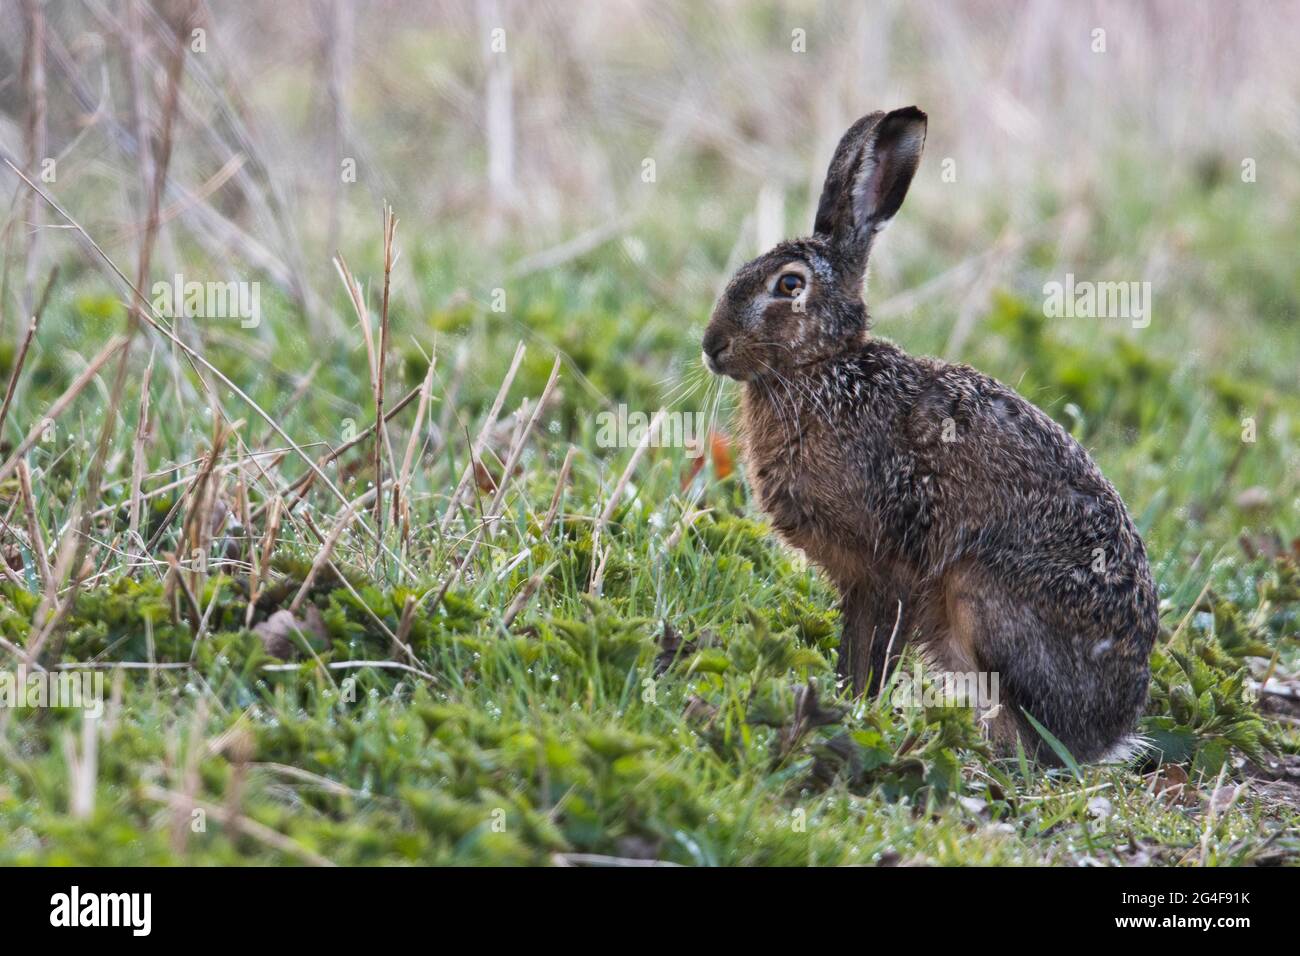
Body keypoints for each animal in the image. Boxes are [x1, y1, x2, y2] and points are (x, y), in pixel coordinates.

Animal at [701, 106, 1159, 763]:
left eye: (788, 286)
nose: (711, 347)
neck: (823, 368)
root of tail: (1112, 731)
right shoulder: (857, 580)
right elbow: (854, 649)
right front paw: (845, 703)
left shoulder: (893, 565)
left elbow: (879, 651)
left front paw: (858, 711)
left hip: (980, 596)